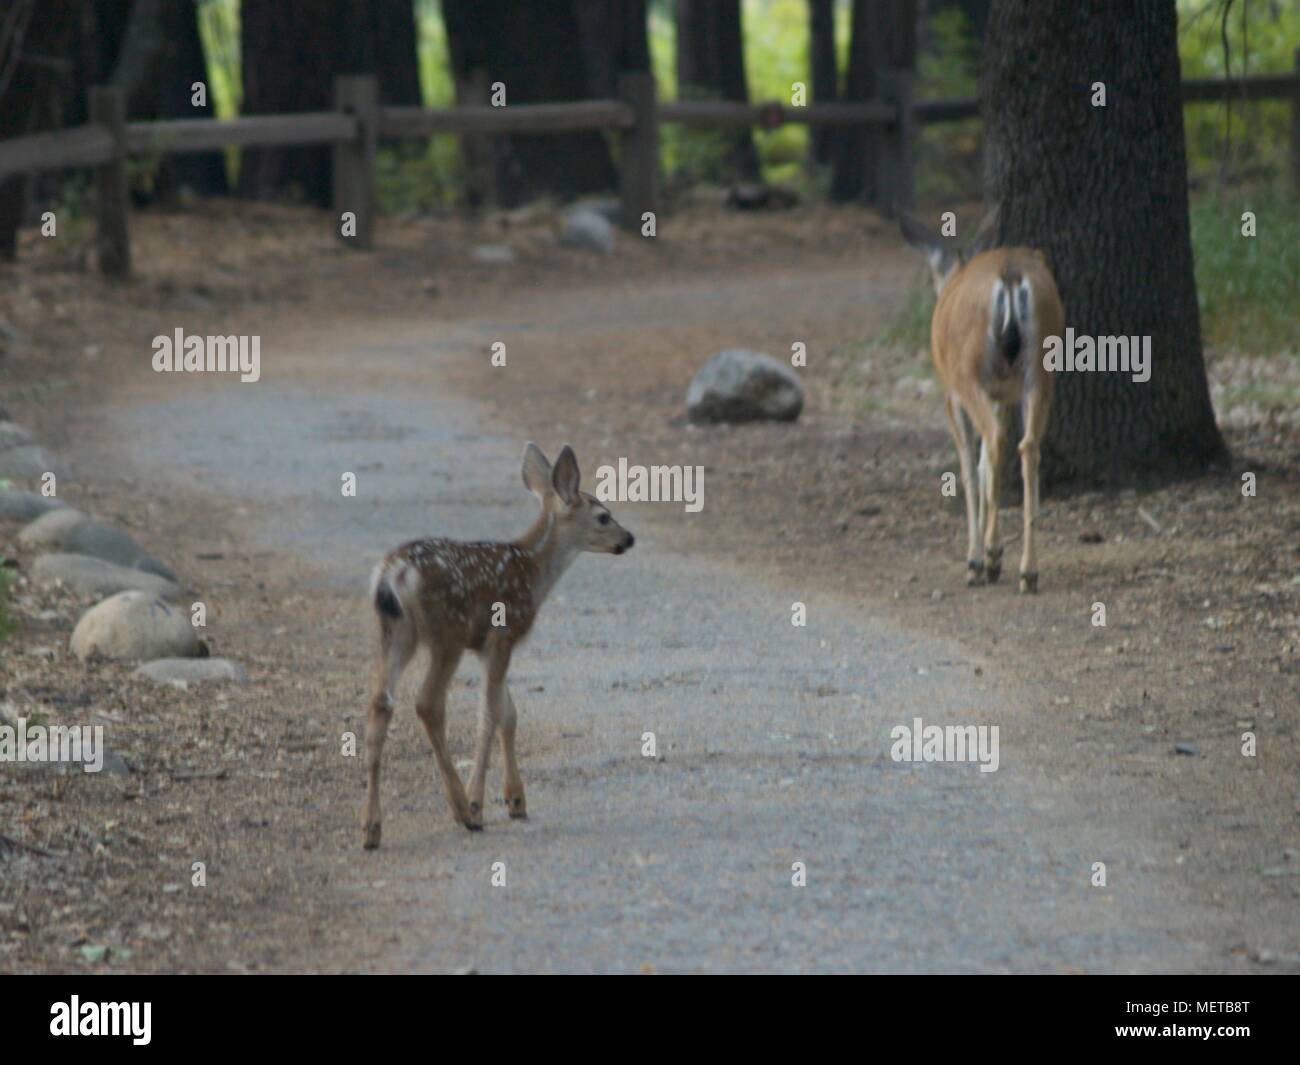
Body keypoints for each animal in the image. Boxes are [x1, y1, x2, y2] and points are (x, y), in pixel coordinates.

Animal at [361, 443, 634, 850]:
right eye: (603, 516)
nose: (629, 538)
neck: (535, 572)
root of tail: (394, 573)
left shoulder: (487, 648)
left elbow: (509, 713)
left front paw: (516, 800)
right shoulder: (502, 635)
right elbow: (490, 712)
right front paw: (480, 803)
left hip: (395, 631)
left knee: (380, 702)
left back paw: (371, 828)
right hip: (446, 632)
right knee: (428, 702)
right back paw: (461, 809)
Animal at [897, 207, 1063, 594]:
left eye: (932, 274)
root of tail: (1011, 275)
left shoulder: (953, 394)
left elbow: (970, 469)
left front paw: (978, 557)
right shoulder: (1002, 396)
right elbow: (985, 464)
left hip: (970, 372)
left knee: (996, 440)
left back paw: (986, 558)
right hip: (1040, 371)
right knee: (1027, 446)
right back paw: (1028, 570)